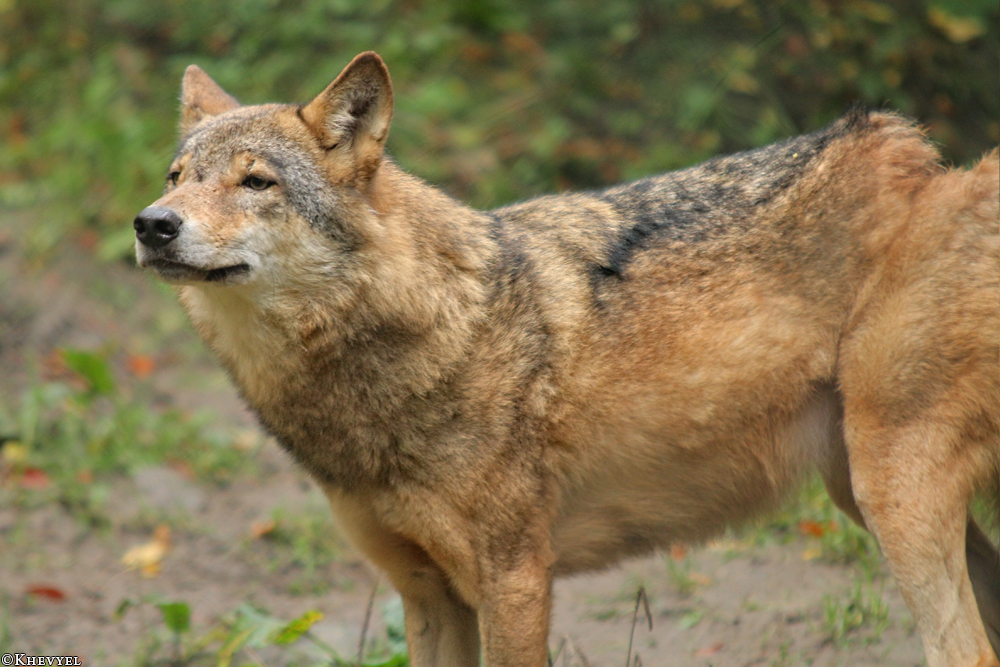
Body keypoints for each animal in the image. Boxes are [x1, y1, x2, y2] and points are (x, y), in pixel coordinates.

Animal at [134, 52, 1000, 666]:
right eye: (176, 177)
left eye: (256, 183)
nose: (152, 224)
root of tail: (938, 166)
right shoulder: (426, 593)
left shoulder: (516, 576)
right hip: (863, 491)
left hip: (890, 492)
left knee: (967, 650)